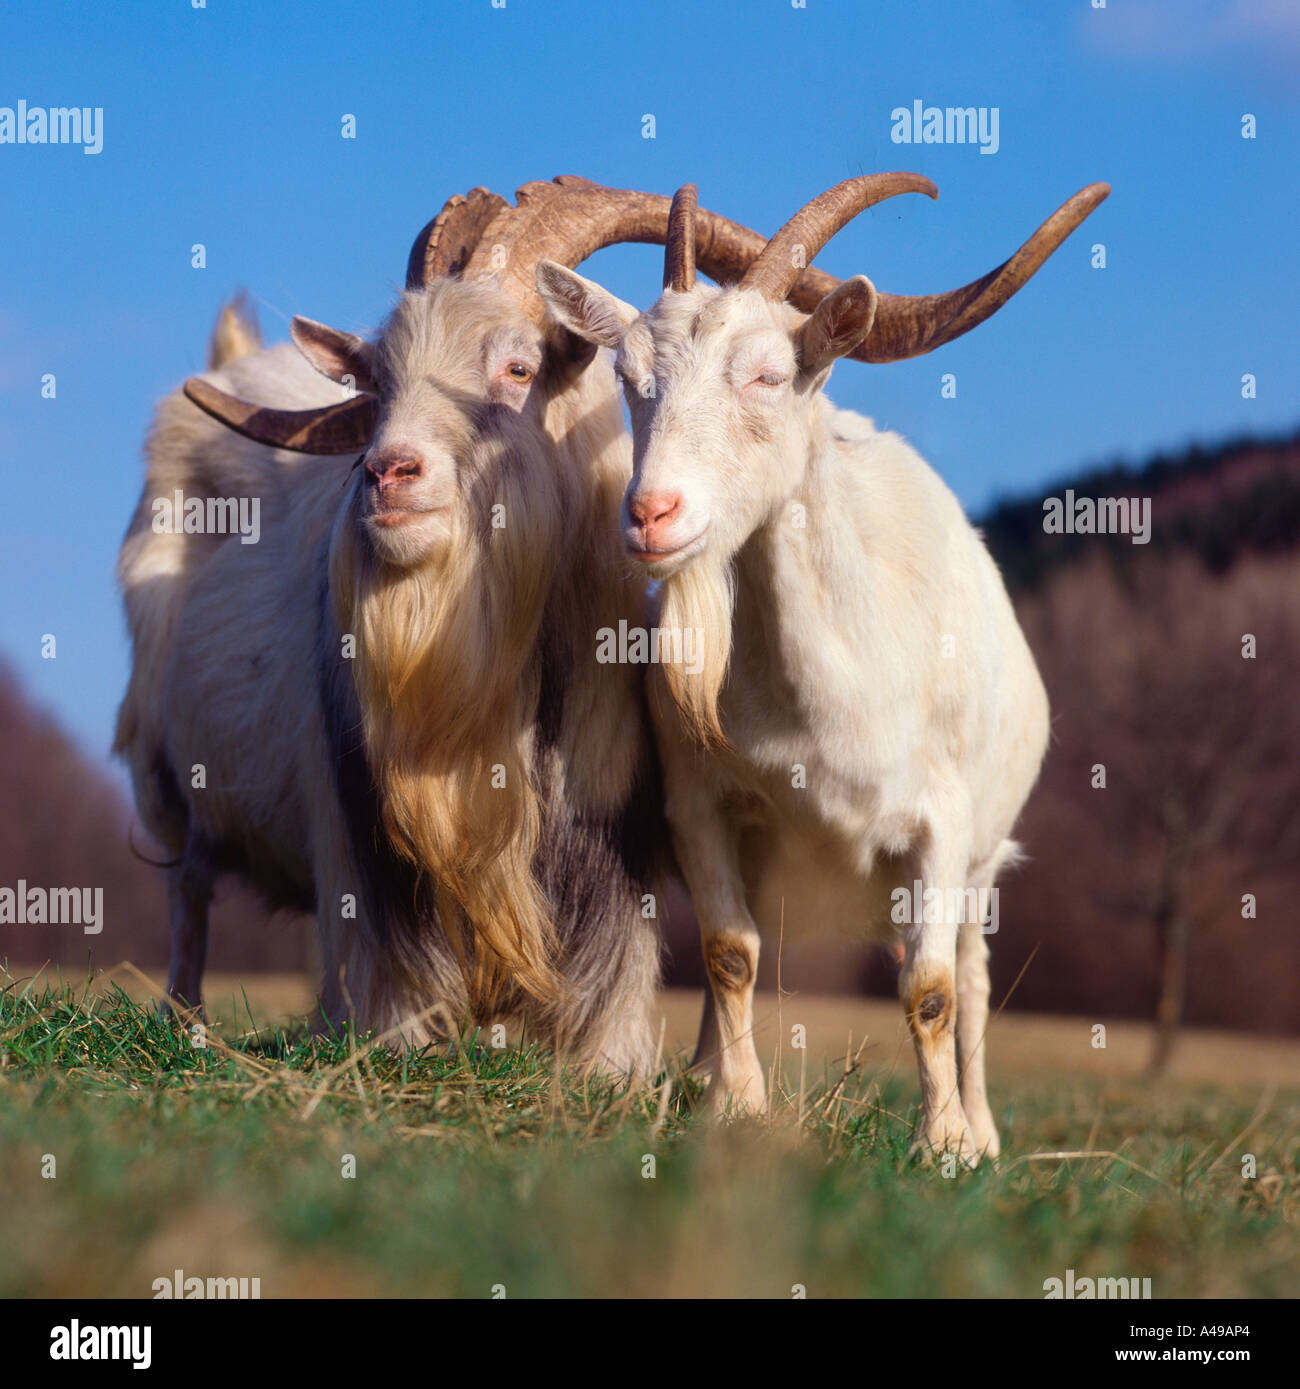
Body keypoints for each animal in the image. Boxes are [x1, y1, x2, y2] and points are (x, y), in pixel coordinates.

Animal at [536, 174, 1108, 1151]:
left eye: (768, 375)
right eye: (631, 378)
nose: (650, 513)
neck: (832, 696)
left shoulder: (940, 826)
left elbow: (932, 989)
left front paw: (946, 1143)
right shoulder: (701, 805)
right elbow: (728, 954)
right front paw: (734, 1102)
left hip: (984, 861)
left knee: (974, 972)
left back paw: (985, 1128)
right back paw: (705, 1072)